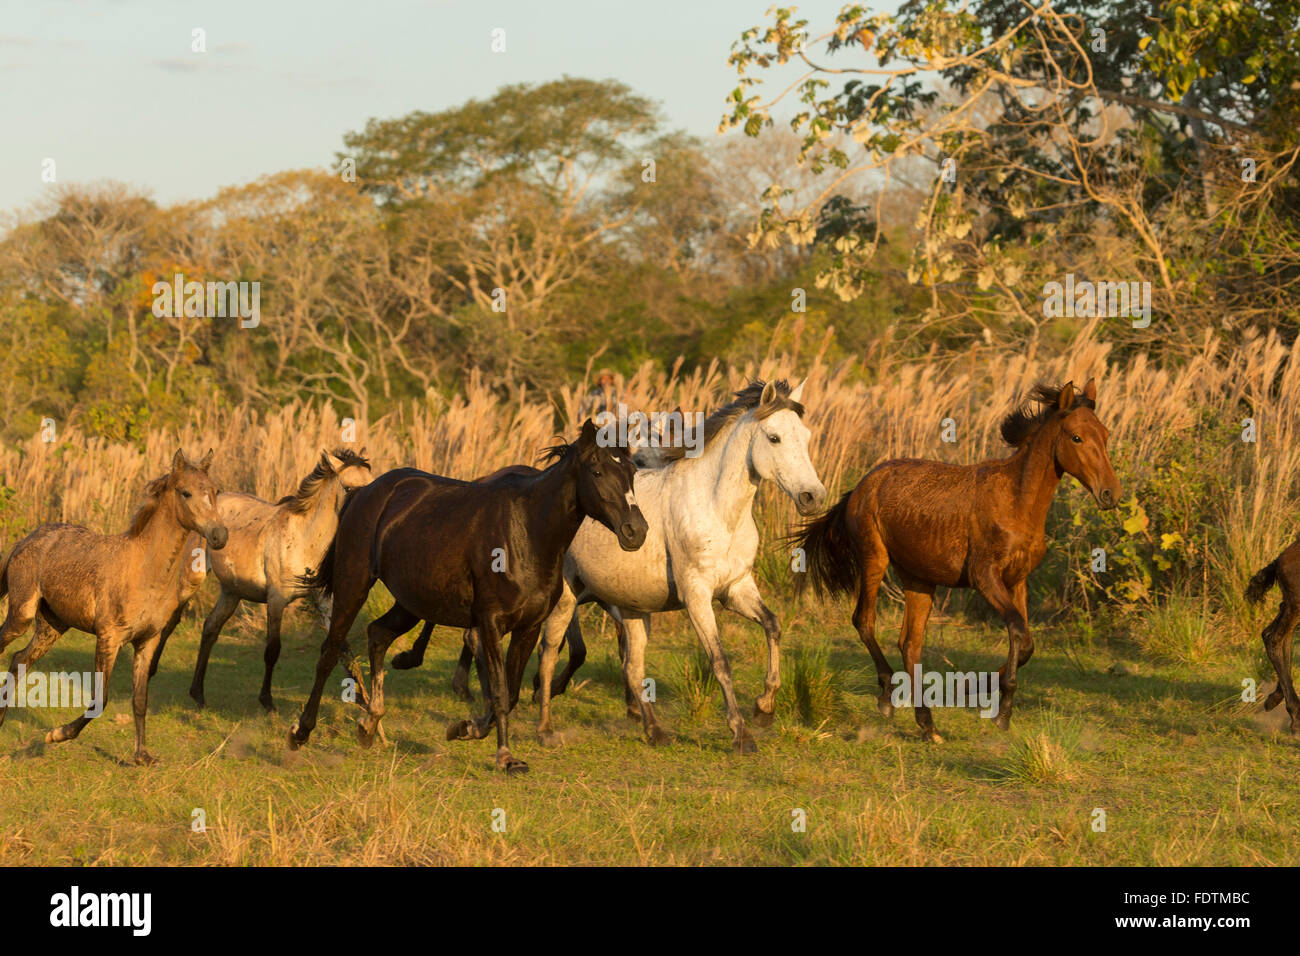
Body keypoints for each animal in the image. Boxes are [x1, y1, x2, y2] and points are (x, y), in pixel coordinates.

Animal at [0, 450, 228, 765]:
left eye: (215, 491)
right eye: (186, 492)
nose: (220, 535)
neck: (145, 570)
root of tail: (28, 539)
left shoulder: (147, 640)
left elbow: (140, 699)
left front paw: (143, 756)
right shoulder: (109, 637)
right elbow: (100, 699)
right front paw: (56, 735)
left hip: (53, 626)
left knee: (19, 660)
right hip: (21, 614)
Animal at [187, 448, 373, 711]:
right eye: (348, 487)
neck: (306, 540)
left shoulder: (325, 602)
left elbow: (343, 648)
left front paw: (364, 699)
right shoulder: (276, 600)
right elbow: (272, 649)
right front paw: (267, 701)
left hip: (231, 592)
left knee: (210, 628)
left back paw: (198, 694)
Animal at [288, 420, 648, 773]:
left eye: (631, 471)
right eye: (597, 471)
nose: (636, 531)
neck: (526, 532)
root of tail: (365, 492)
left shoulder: (529, 627)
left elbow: (512, 693)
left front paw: (465, 728)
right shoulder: (491, 622)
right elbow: (500, 691)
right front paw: (506, 757)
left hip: (413, 600)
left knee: (378, 634)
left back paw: (370, 723)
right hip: (354, 584)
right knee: (330, 651)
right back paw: (302, 732)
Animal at [795, 380, 1120, 742]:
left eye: (1105, 434)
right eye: (1076, 437)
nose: (1111, 493)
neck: (1016, 502)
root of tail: (861, 486)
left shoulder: (1018, 580)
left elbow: (1026, 642)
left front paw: (974, 689)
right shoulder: (985, 577)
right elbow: (1018, 632)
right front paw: (1001, 713)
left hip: (919, 579)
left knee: (909, 643)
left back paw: (927, 722)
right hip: (873, 560)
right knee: (864, 621)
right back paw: (888, 697)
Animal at [1246, 539, 1300, 733]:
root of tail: (1279, 560)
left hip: (1291, 605)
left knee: (1275, 635)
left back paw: (1274, 700)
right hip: (1296, 605)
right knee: (1274, 638)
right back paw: (1295, 717)